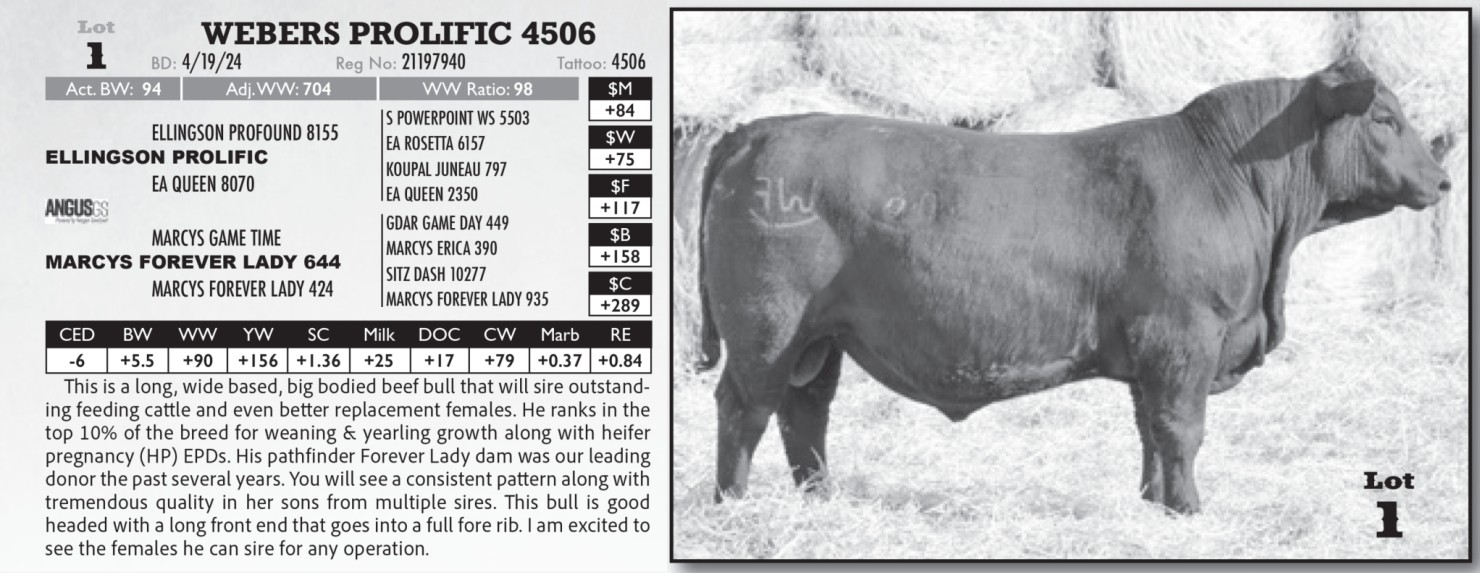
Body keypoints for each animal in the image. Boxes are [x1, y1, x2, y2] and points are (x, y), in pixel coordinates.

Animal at [694, 57, 1452, 514]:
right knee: (744, 408)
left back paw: (822, 499)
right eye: (1384, 118)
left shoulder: (1152, 350)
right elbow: (1181, 428)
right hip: (766, 329)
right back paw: (734, 505)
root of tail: (760, 127)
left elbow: (1150, 430)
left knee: (805, 413)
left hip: (818, 339)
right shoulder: (1185, 337)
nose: (1443, 180)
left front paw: (1154, 505)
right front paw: (1189, 509)